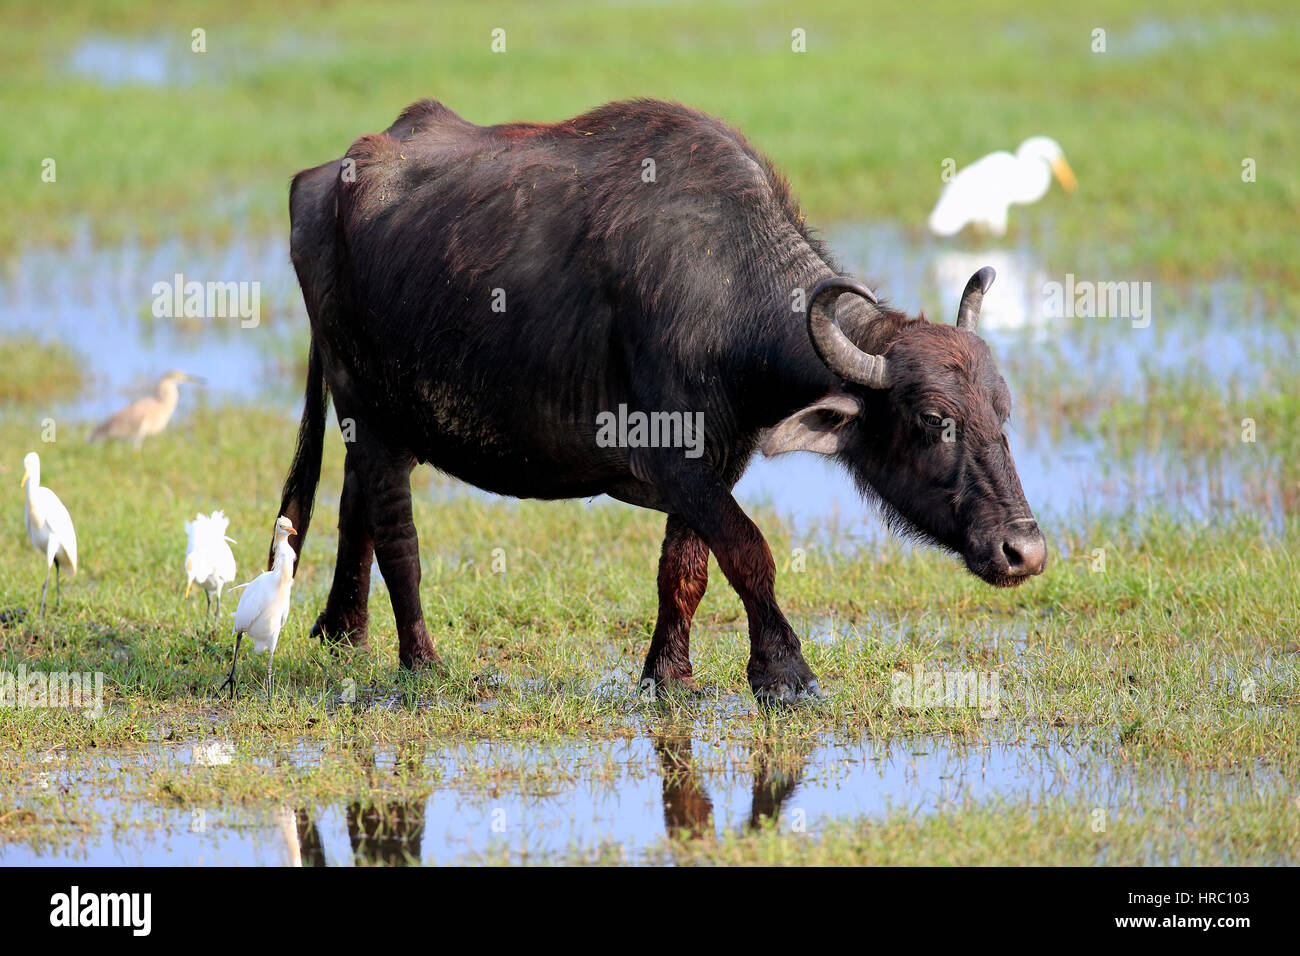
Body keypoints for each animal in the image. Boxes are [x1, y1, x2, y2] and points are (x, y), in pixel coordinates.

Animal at [274, 98, 1046, 703]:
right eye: (934, 421)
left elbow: (685, 568)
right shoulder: (675, 460)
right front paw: (785, 672)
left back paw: (342, 633)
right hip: (370, 415)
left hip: (375, 424)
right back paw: (422, 663)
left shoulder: (715, 463)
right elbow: (748, 551)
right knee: (398, 537)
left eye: (1001, 413)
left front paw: (668, 673)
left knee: (354, 506)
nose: (1024, 552)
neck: (728, 297)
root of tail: (324, 178)